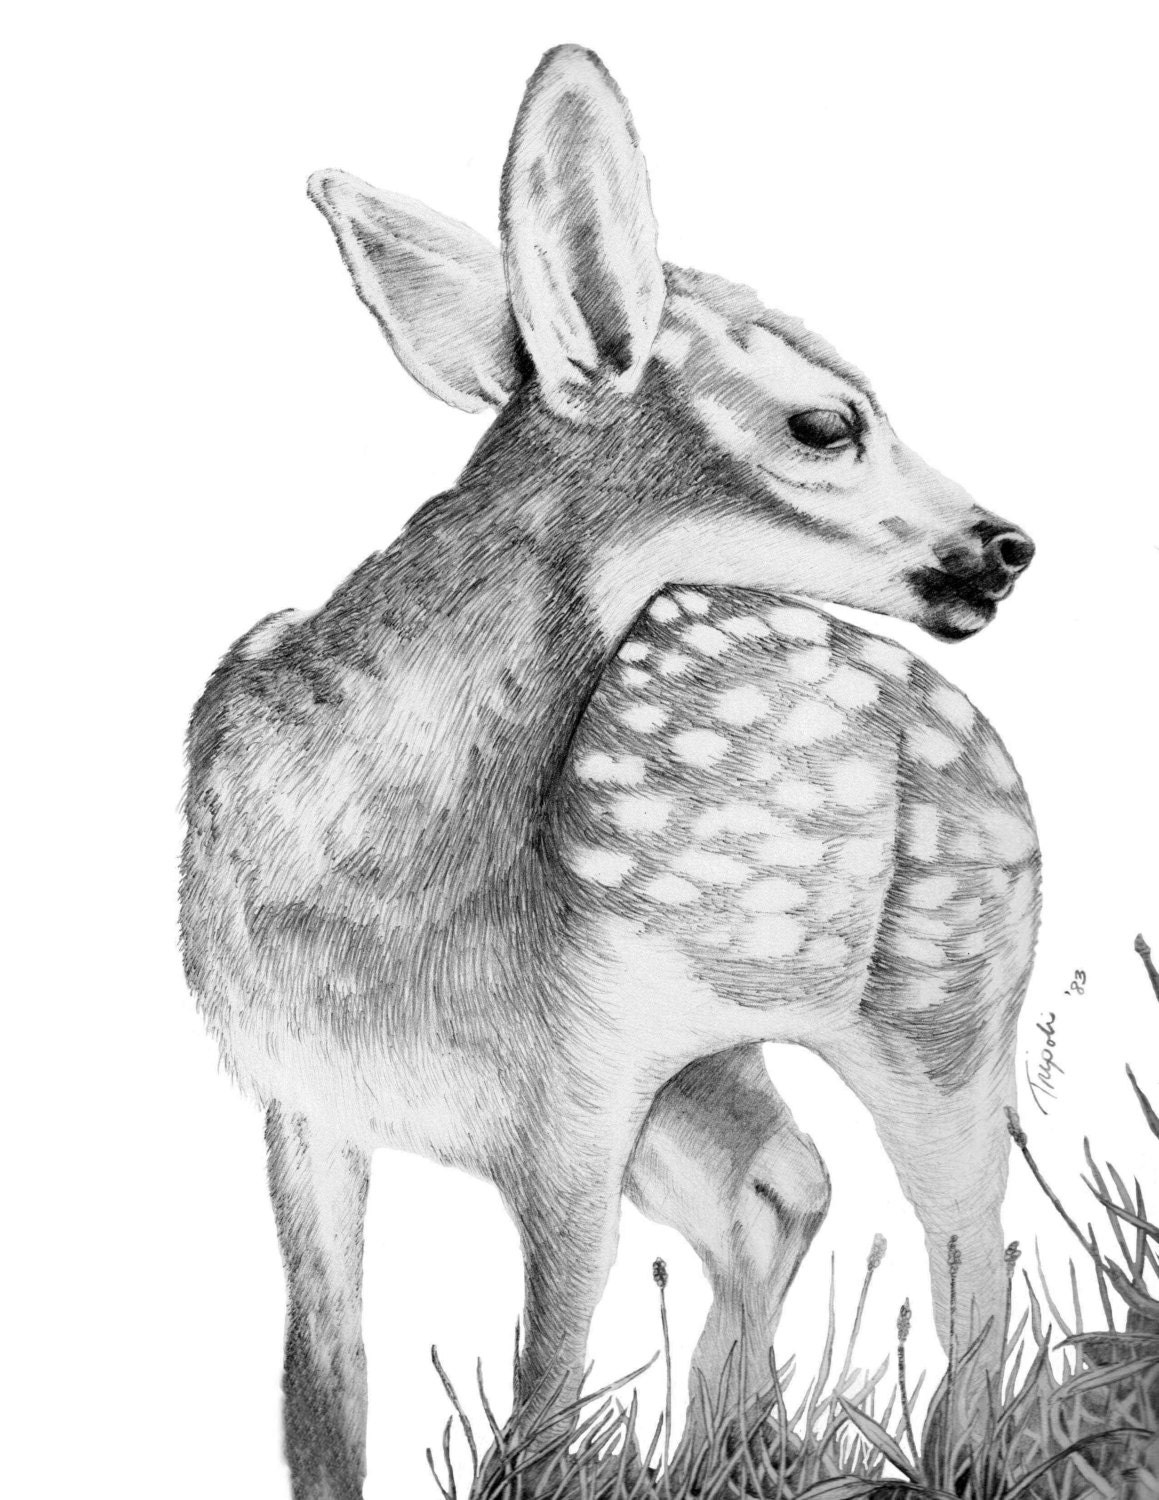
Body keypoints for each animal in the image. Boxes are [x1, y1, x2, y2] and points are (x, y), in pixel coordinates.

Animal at [180, 44, 1040, 1500]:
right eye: (827, 422)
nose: (1003, 544)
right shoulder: (296, 1092)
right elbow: (320, 1393)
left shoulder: (574, 1097)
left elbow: (540, 1398)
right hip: (708, 1059)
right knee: (784, 1183)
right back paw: (727, 1449)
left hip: (944, 998)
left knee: (963, 1227)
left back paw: (950, 1459)